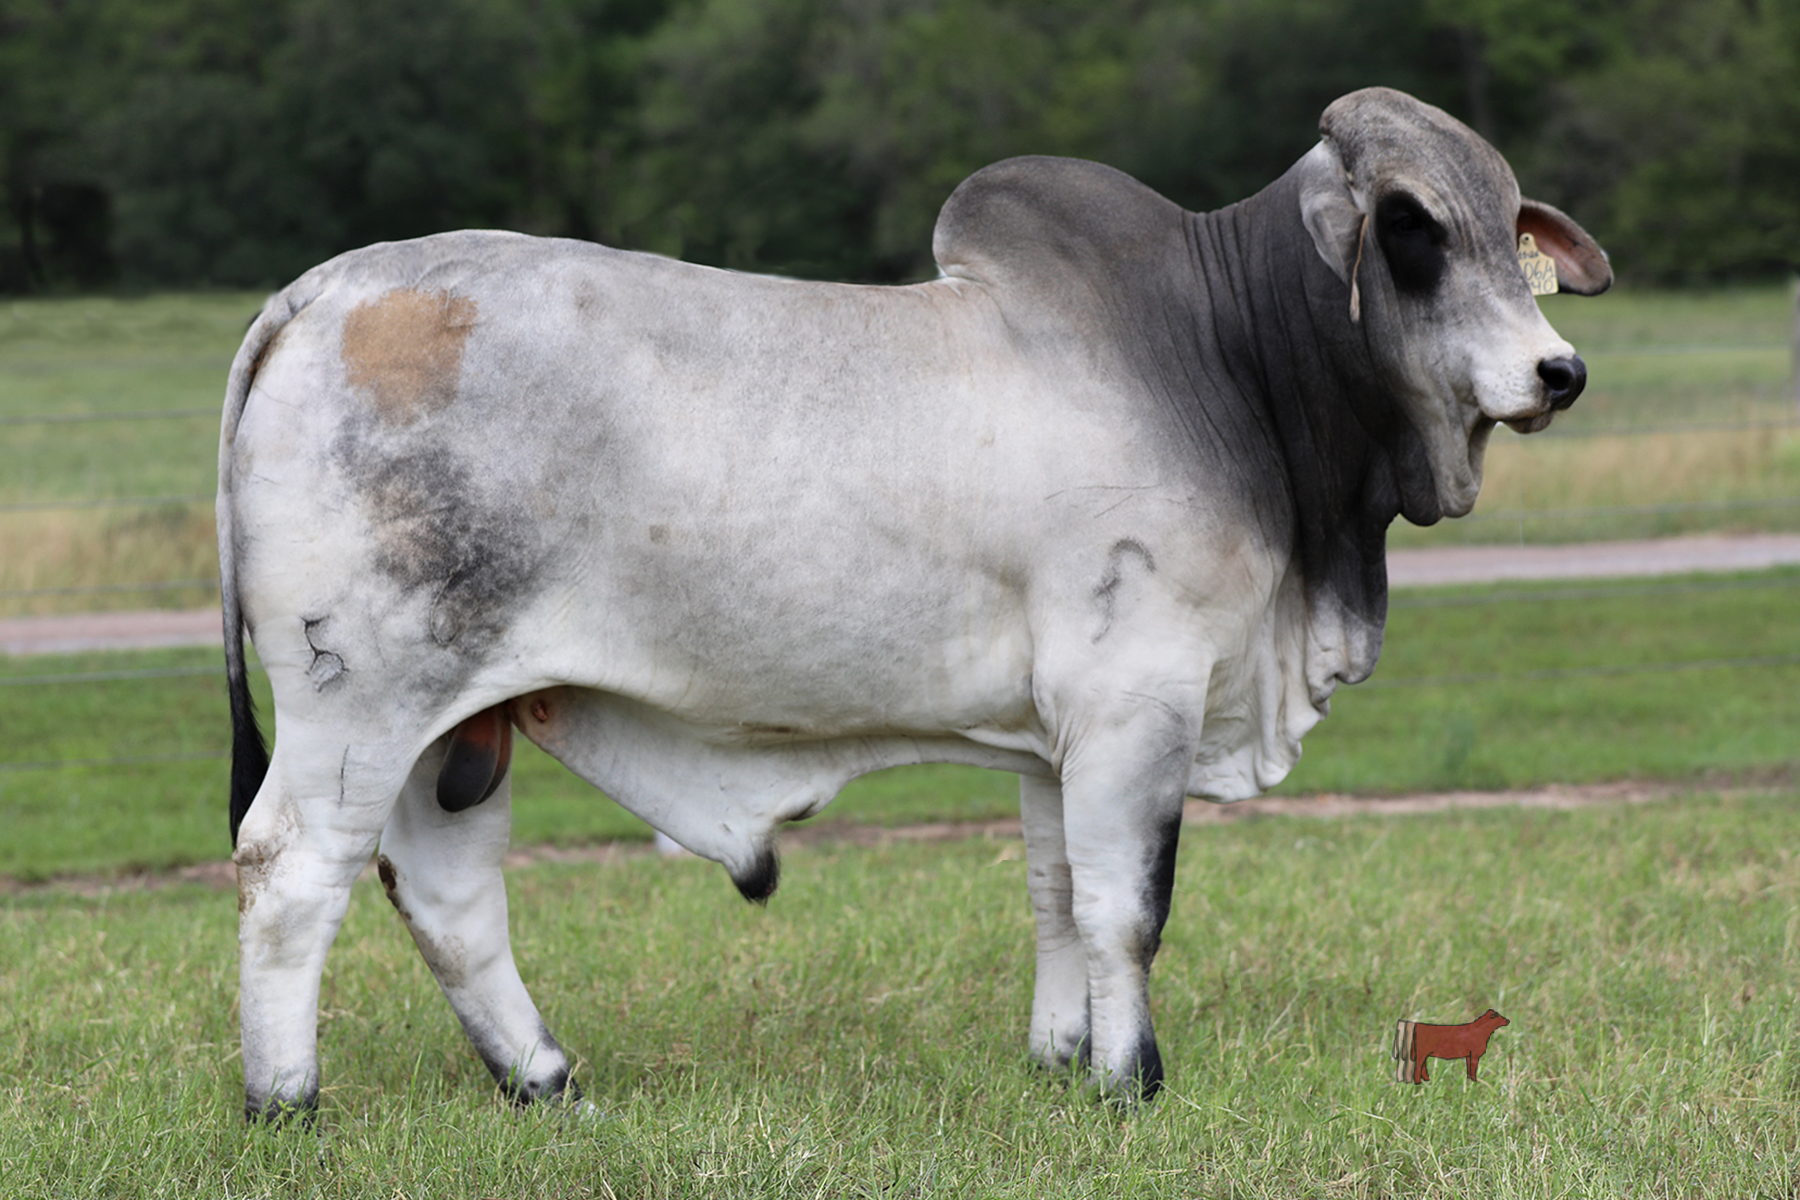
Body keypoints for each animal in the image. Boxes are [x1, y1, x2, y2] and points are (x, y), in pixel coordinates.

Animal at [217, 87, 1610, 1121]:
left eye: (1510, 228)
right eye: (1415, 228)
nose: (1561, 372)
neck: (1223, 358)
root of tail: (323, 290)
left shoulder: (1059, 738)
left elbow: (1056, 895)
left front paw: (1062, 1065)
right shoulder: (1138, 700)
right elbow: (1127, 908)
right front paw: (1133, 1081)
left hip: (457, 722)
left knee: (444, 890)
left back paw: (548, 1080)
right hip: (363, 702)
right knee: (293, 871)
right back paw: (287, 1101)